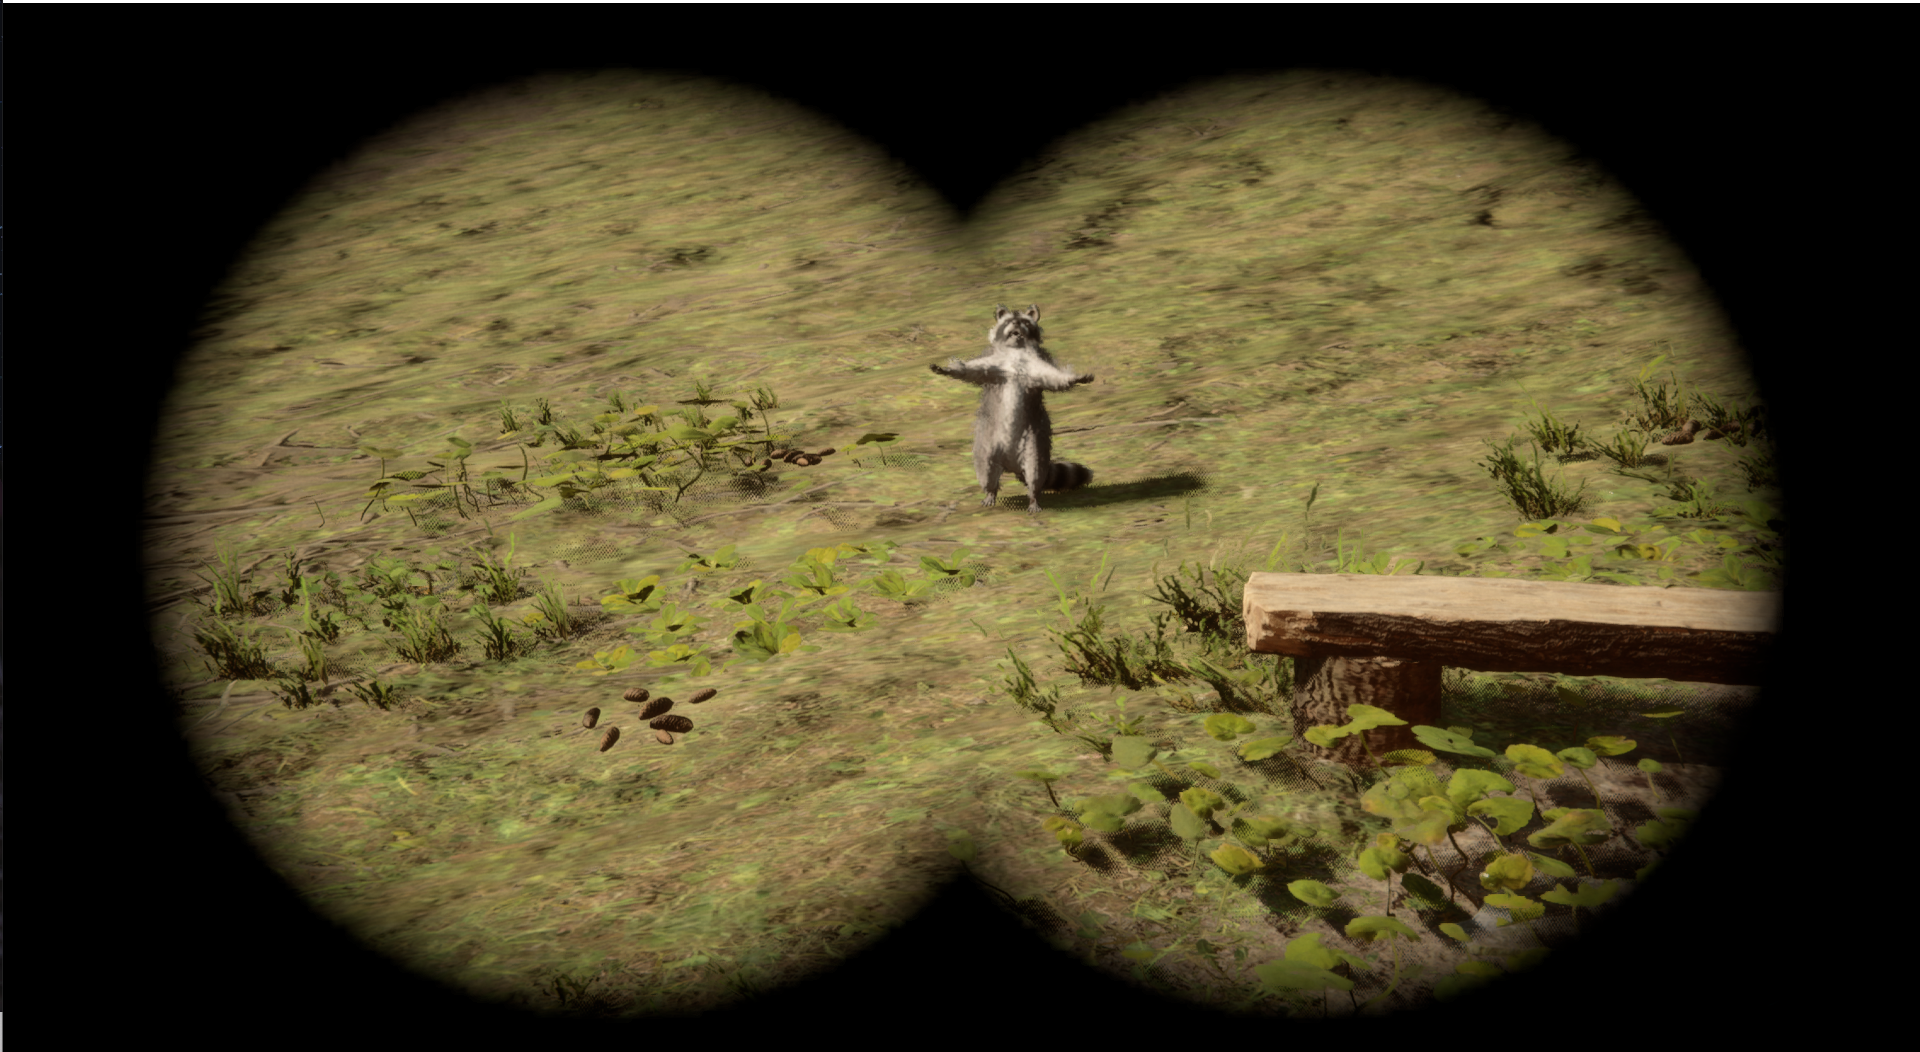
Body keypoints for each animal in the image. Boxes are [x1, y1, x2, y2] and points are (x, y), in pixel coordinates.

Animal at [929, 304, 1095, 514]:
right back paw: (990, 492)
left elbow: (1052, 377)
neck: (1016, 350)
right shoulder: (993, 363)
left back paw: (1033, 497)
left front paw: (1072, 378)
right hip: (987, 443)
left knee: (1035, 472)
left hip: (1034, 443)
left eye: (1024, 321)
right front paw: (951, 368)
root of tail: (1011, 465)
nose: (1015, 323)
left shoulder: (1037, 363)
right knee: (986, 469)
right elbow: (971, 370)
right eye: (1009, 321)